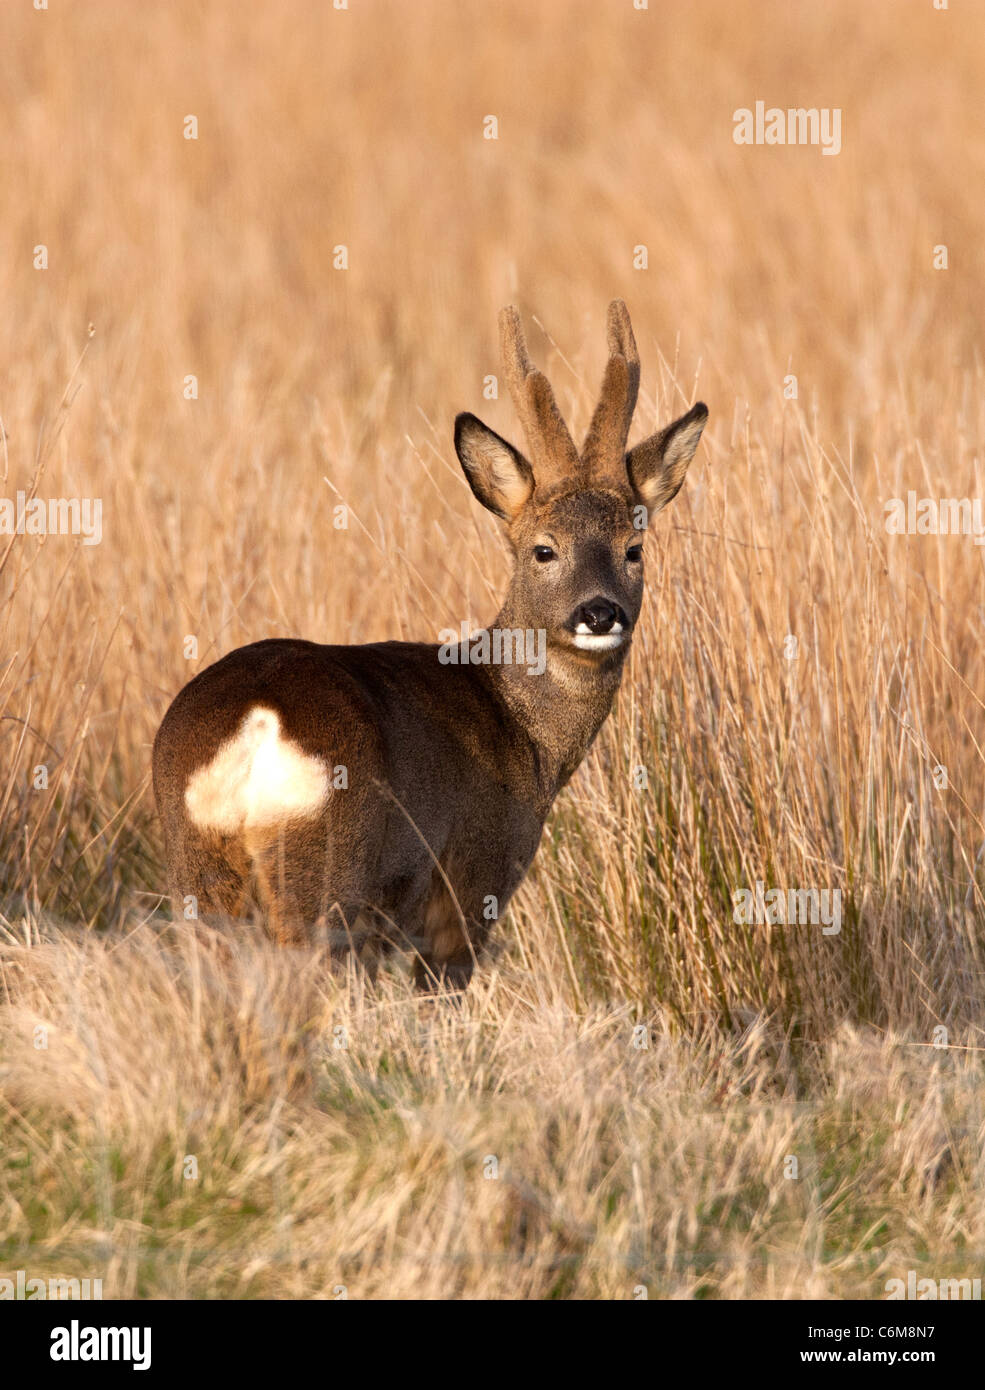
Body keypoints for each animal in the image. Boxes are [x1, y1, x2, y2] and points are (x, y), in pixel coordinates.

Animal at [152, 301, 707, 989]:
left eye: (634, 548)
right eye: (542, 549)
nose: (599, 612)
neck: (524, 734)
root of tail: (256, 723)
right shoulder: (472, 884)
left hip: (198, 875)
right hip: (324, 877)